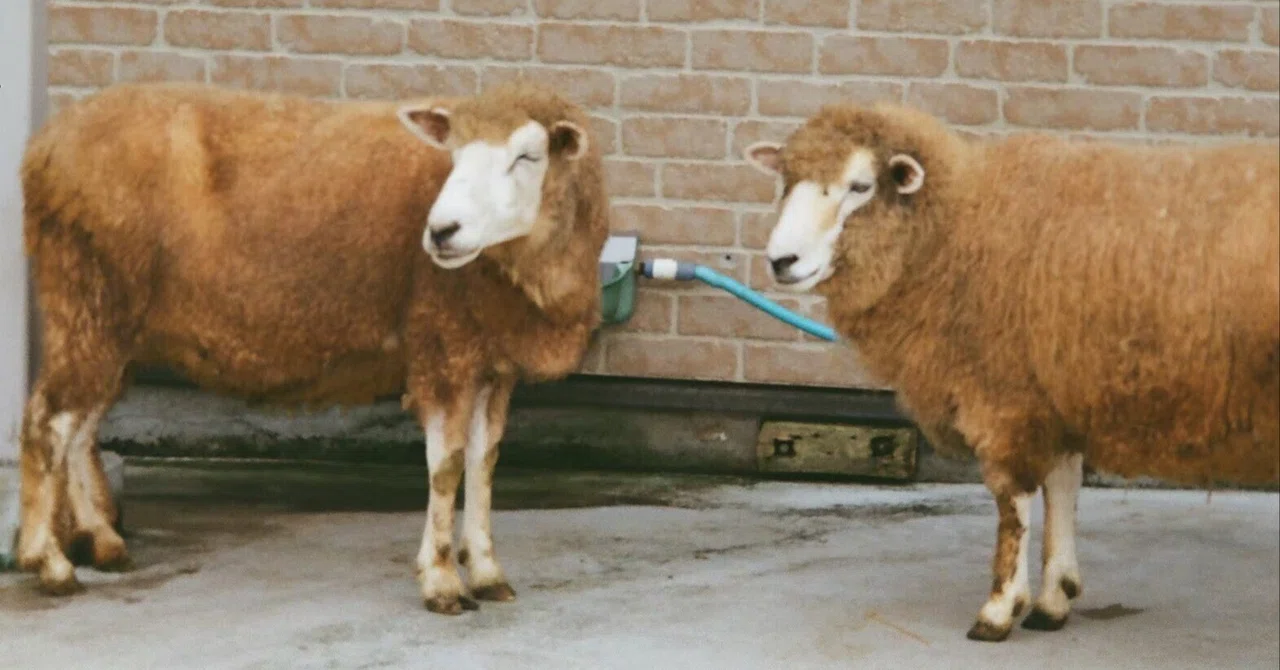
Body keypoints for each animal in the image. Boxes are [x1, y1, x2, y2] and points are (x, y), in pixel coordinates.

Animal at [17, 80, 609, 614]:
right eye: (454, 153)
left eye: (528, 156)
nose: (442, 232)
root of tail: (44, 147)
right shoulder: (444, 346)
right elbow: (446, 468)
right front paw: (442, 581)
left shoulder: (491, 363)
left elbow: (484, 465)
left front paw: (487, 572)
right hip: (85, 296)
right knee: (48, 423)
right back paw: (48, 562)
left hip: (110, 323)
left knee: (81, 427)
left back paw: (102, 542)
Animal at [743, 101, 1280, 642]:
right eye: (785, 181)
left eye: (860, 186)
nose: (781, 261)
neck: (955, 230)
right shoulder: (1050, 390)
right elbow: (1063, 487)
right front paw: (1054, 599)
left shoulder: (1004, 393)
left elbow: (1013, 501)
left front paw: (1000, 609)